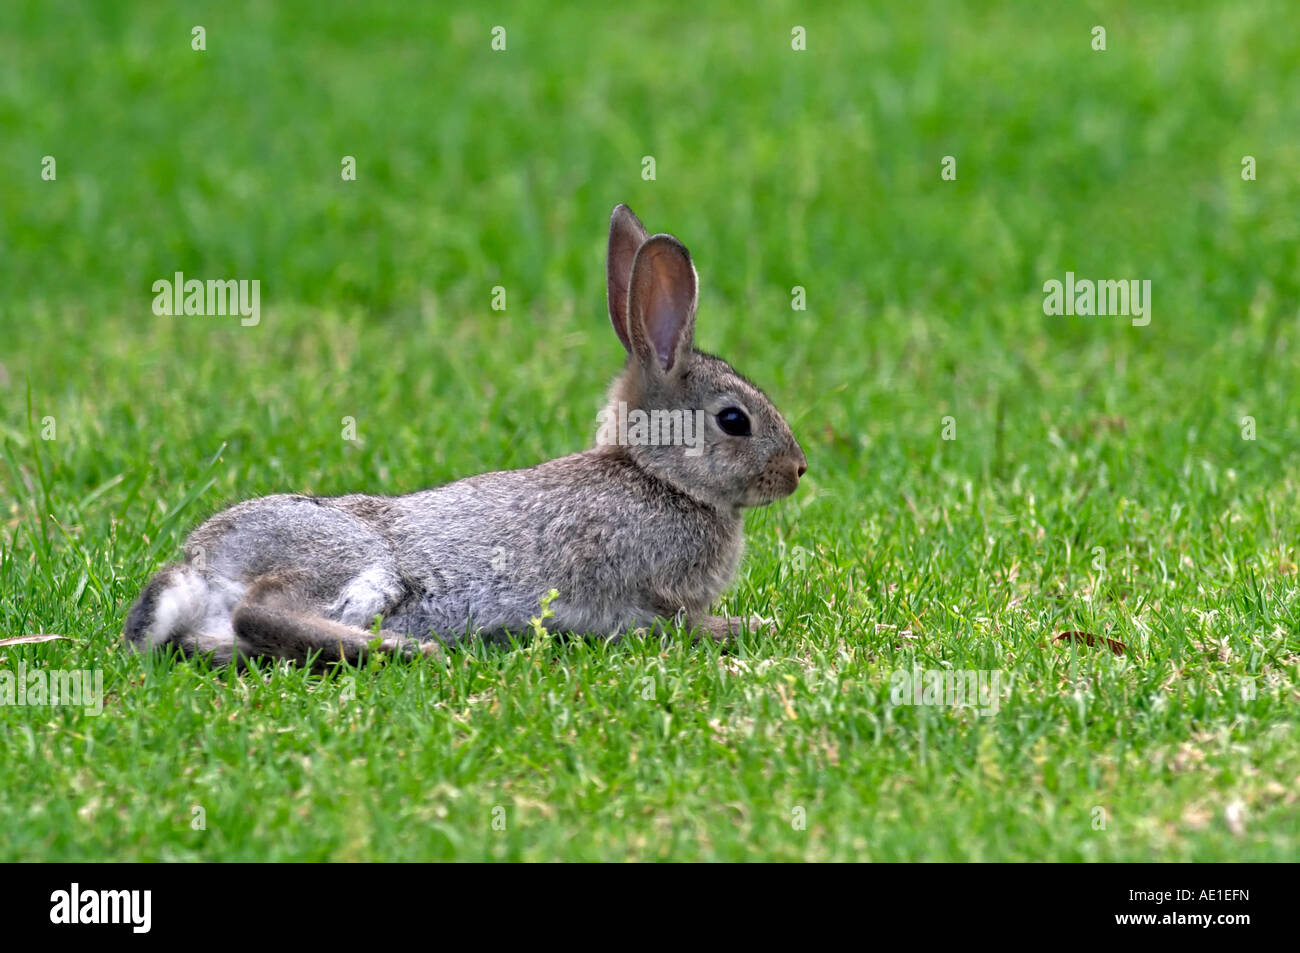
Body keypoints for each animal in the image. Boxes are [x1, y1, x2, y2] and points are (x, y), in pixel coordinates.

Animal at [123, 204, 807, 668]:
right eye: (734, 420)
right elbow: (681, 622)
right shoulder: (651, 592)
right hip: (355, 562)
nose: (798, 471)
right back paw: (410, 648)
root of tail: (200, 563)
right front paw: (750, 626)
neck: (656, 476)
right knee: (261, 612)